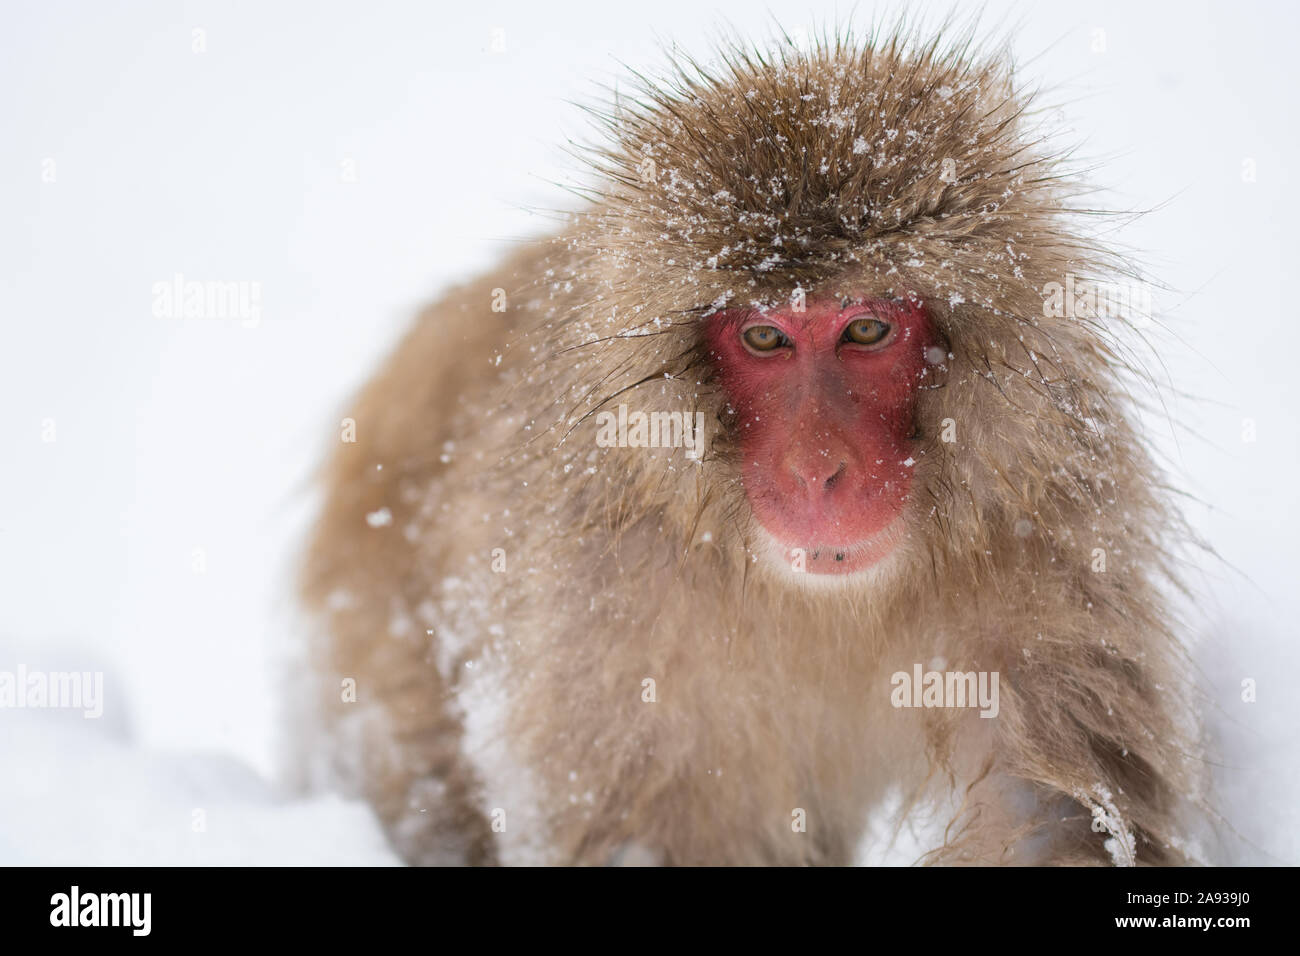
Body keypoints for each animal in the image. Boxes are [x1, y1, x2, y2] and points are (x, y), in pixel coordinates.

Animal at [297, 23, 1204, 866]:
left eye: (866, 329)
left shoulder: (1044, 536)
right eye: (765, 338)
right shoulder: (610, 611)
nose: (816, 470)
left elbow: (1048, 807)